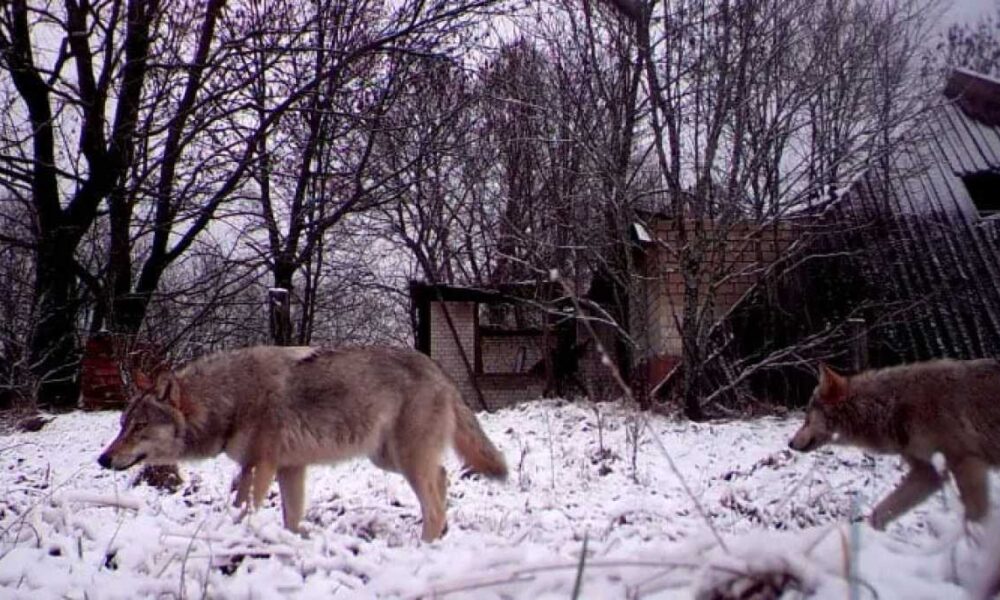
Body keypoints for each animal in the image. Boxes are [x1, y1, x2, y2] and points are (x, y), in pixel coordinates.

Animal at [97, 345, 508, 541]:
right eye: (122, 425)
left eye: (140, 426)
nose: (103, 459)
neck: (231, 398)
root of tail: (439, 370)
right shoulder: (290, 468)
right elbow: (291, 518)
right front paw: (289, 542)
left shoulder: (260, 466)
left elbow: (244, 508)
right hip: (388, 459)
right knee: (443, 477)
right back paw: (443, 535)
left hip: (404, 461)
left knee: (434, 499)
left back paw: (424, 546)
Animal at [788, 359, 1000, 530]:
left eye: (807, 418)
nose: (790, 443)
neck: (891, 406)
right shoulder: (927, 473)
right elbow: (879, 513)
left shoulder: (967, 462)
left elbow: (974, 517)